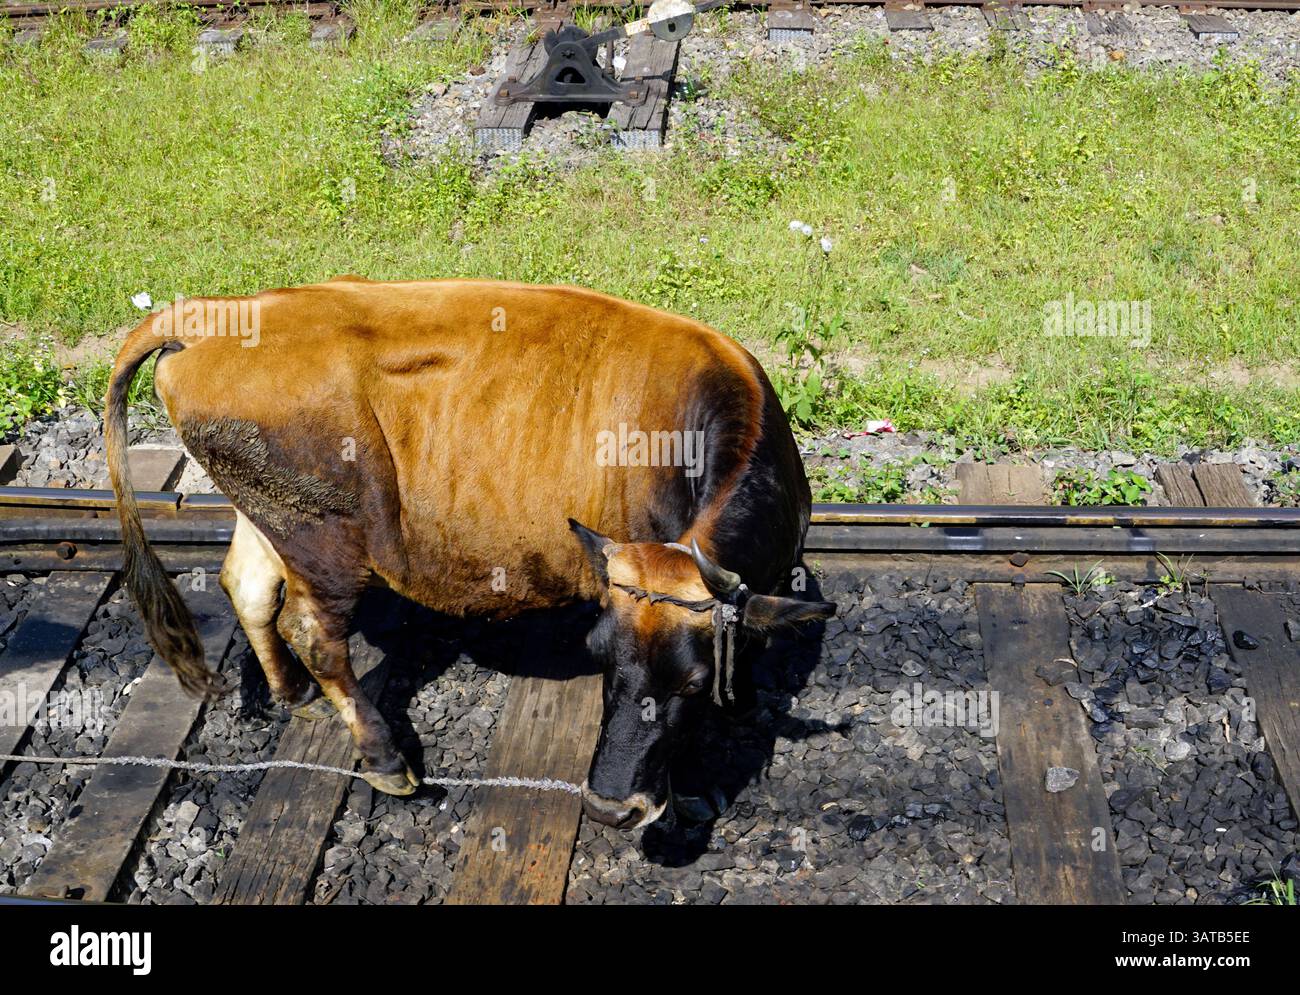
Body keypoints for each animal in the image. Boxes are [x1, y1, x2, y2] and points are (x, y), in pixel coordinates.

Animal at [106, 277, 835, 829]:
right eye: (601, 662)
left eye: (690, 681)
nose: (608, 808)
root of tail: (216, 313)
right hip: (320, 535)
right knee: (311, 630)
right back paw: (385, 759)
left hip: (266, 512)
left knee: (249, 586)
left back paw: (295, 694)